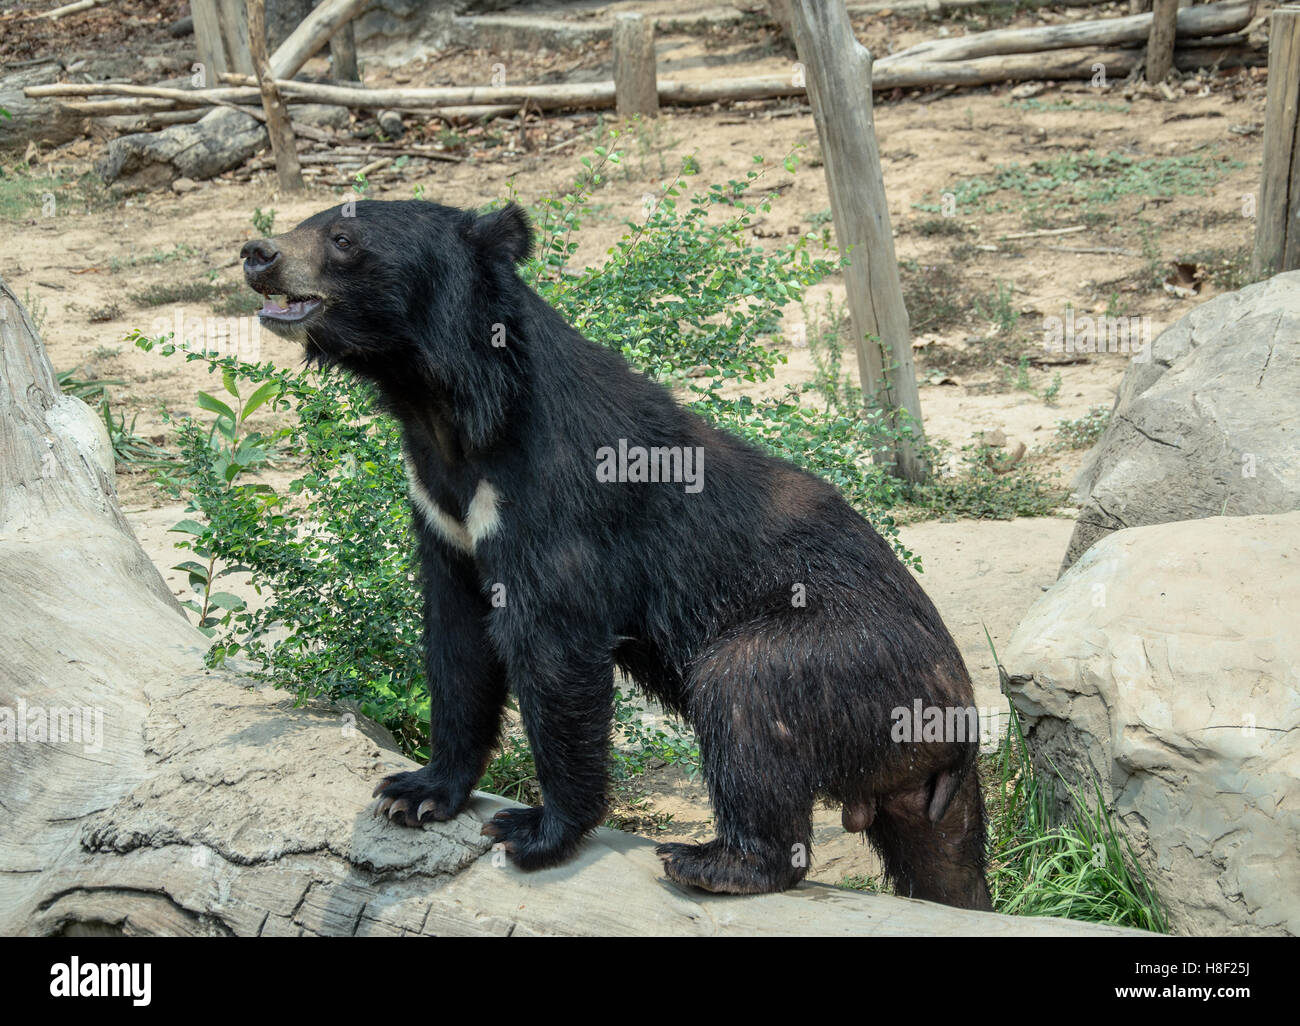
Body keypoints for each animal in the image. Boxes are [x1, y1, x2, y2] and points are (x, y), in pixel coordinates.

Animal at [240, 198, 992, 910]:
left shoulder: (555, 500)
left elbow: (553, 646)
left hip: (846, 661)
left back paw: (715, 861)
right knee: (945, 864)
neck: (446, 412)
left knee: (743, 688)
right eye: (307, 220)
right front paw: (415, 791)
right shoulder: (442, 512)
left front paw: (536, 829)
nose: (257, 253)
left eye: (342, 239)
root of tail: (957, 724)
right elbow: (457, 642)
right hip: (915, 785)